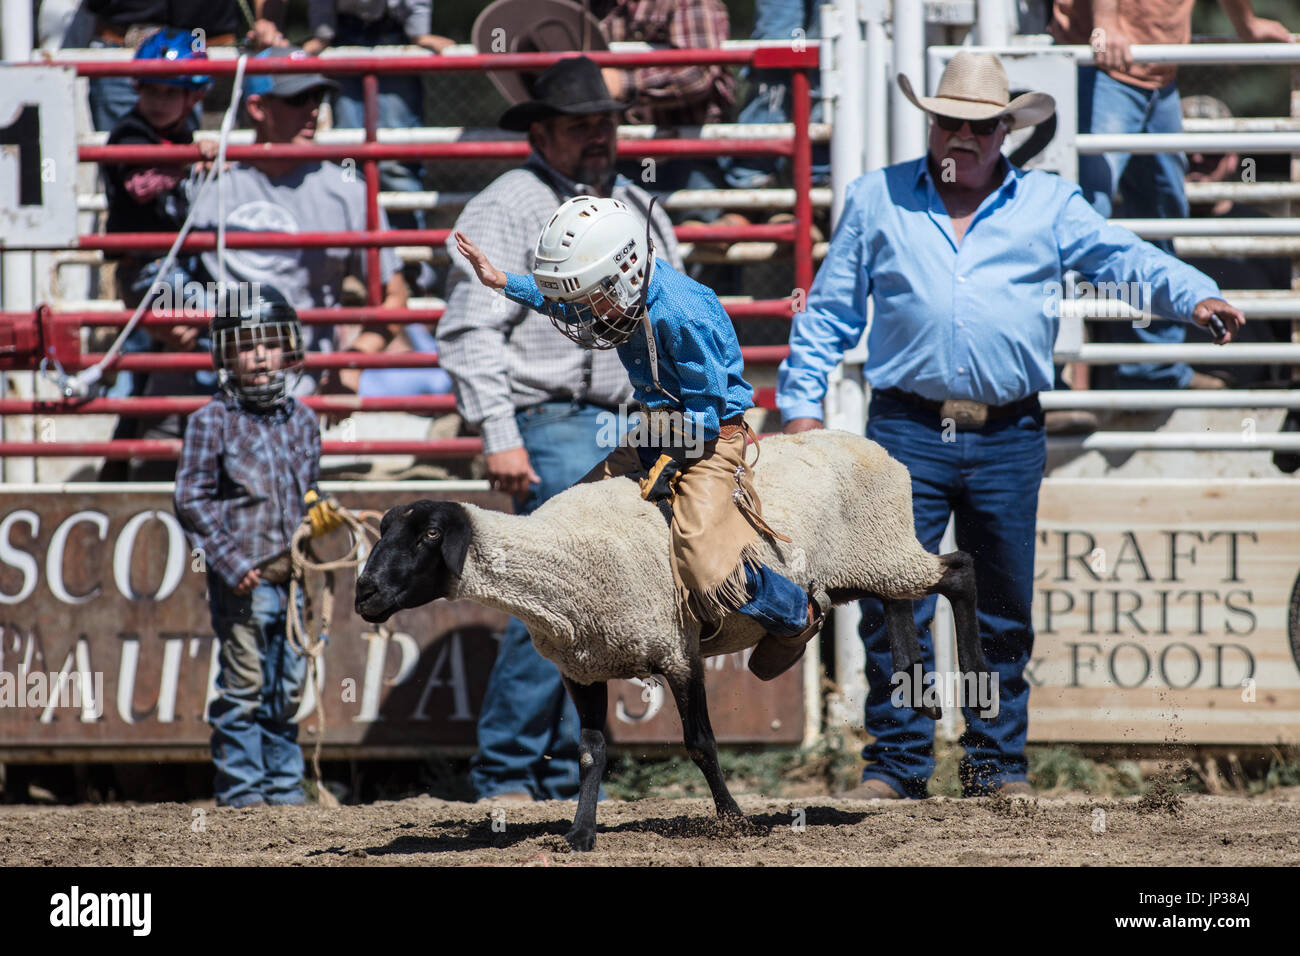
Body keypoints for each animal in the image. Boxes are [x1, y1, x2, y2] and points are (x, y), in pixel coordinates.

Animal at [355, 428, 987, 851]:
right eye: (381, 530)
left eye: (429, 535)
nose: (362, 593)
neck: (559, 563)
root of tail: (875, 448)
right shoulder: (582, 668)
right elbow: (591, 752)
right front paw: (580, 834)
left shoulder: (678, 654)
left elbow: (701, 744)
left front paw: (734, 820)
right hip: (866, 562)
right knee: (901, 597)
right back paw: (917, 686)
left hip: (881, 547)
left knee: (957, 570)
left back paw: (976, 685)